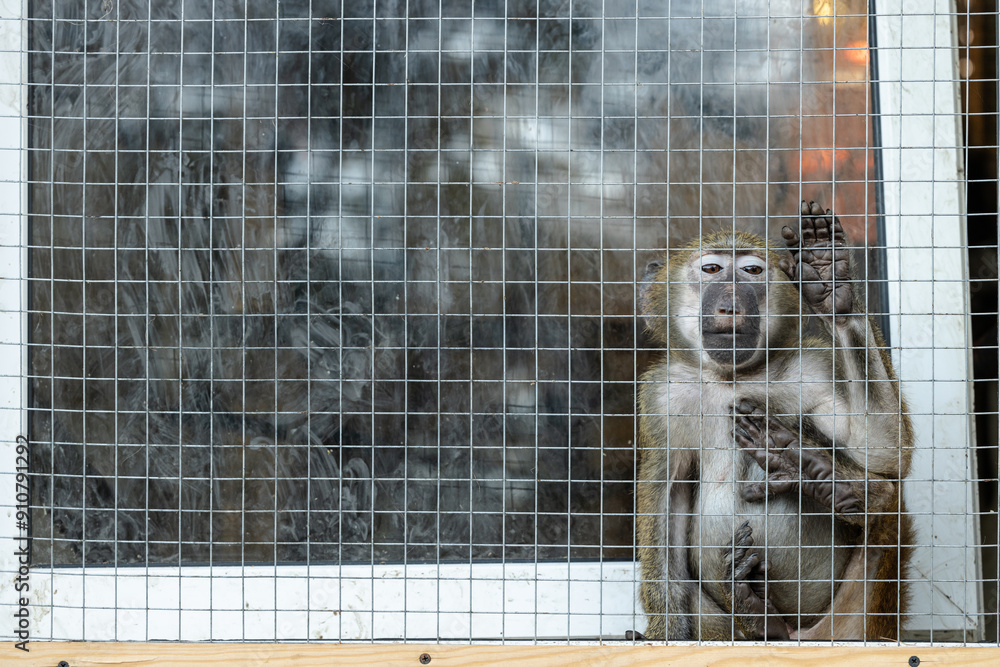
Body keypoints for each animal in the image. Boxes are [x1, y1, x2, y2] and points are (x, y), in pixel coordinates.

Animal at [633, 201, 912, 641]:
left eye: (751, 271)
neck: (733, 378)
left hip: (861, 623)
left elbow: (884, 451)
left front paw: (831, 287)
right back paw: (755, 610)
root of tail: (800, 636)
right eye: (711, 269)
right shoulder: (663, 397)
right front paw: (665, 639)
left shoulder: (814, 367)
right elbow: (666, 497)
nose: (731, 305)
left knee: (888, 497)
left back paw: (820, 476)